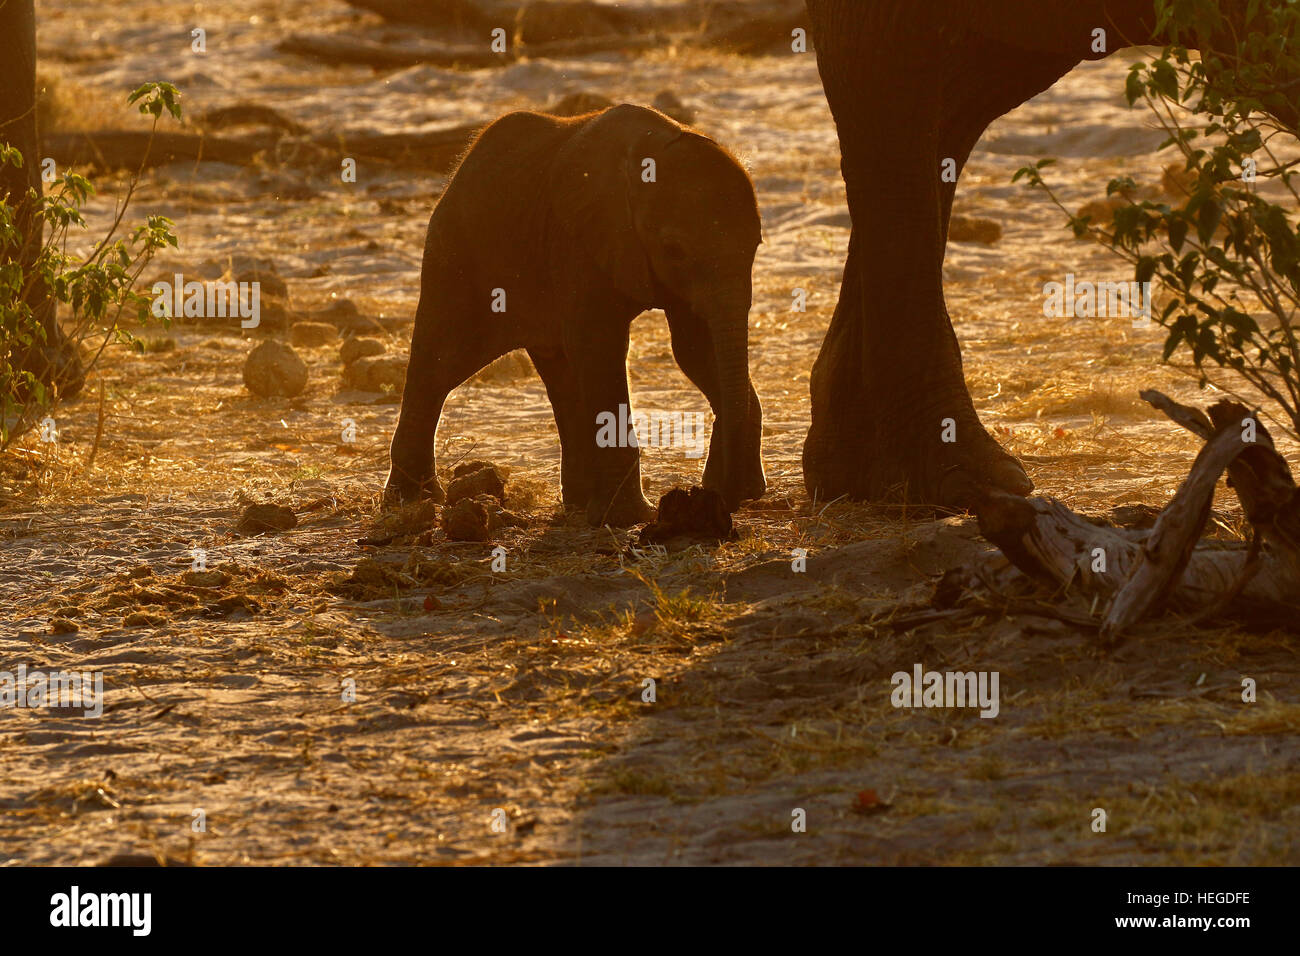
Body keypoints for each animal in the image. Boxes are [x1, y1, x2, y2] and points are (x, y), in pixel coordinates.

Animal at [385, 104, 767, 526]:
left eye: (757, 244)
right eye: (673, 249)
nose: (727, 497)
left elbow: (694, 349)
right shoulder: (580, 240)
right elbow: (602, 348)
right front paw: (630, 518)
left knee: (559, 373)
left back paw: (580, 506)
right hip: (457, 252)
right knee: (440, 363)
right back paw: (413, 501)